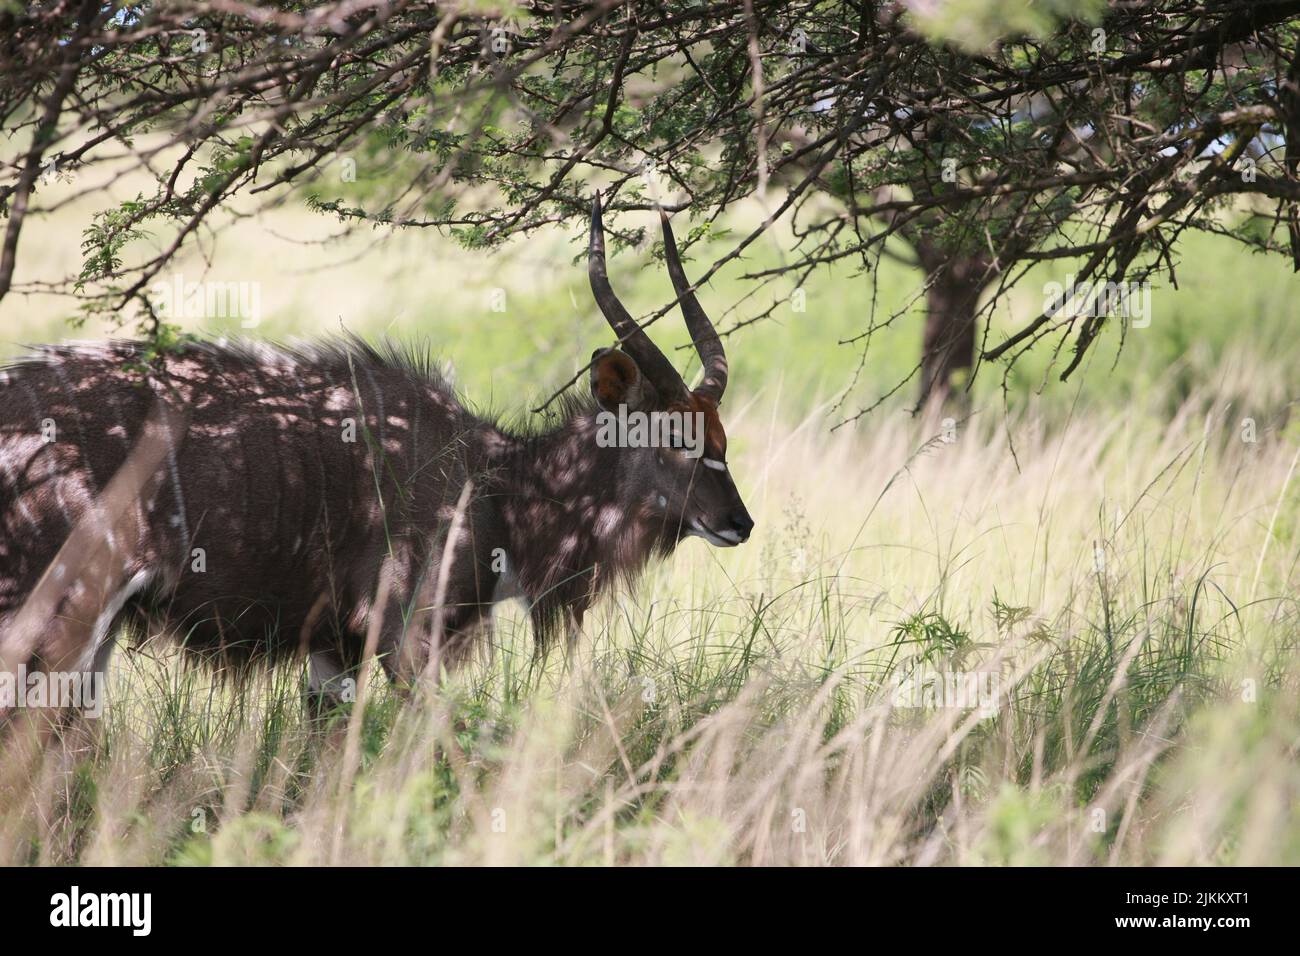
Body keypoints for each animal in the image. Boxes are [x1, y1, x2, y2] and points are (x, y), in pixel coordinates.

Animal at [0, 197, 753, 712]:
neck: (494, 481)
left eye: (720, 437)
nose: (739, 523)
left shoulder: (332, 653)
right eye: (674, 439)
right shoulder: (400, 636)